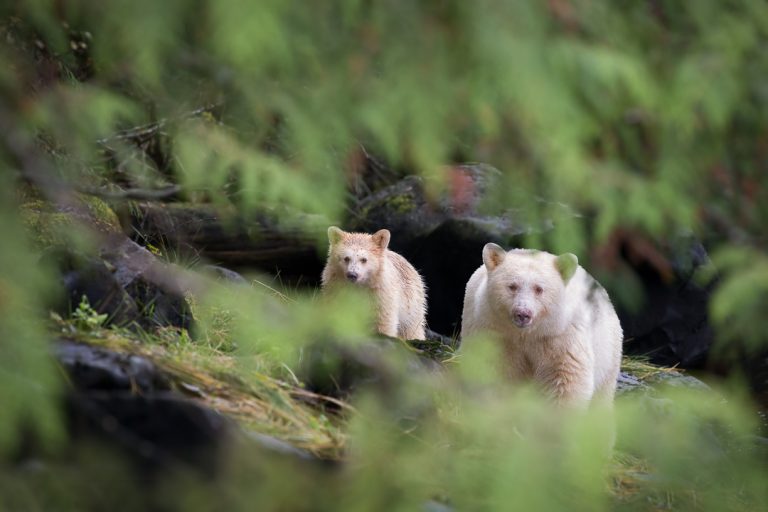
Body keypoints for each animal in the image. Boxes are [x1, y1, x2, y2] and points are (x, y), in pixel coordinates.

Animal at [460, 244, 623, 407]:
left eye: (539, 289)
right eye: (512, 286)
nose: (523, 314)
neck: (527, 334)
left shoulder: (561, 336)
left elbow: (567, 380)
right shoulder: (493, 331)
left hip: (608, 351)